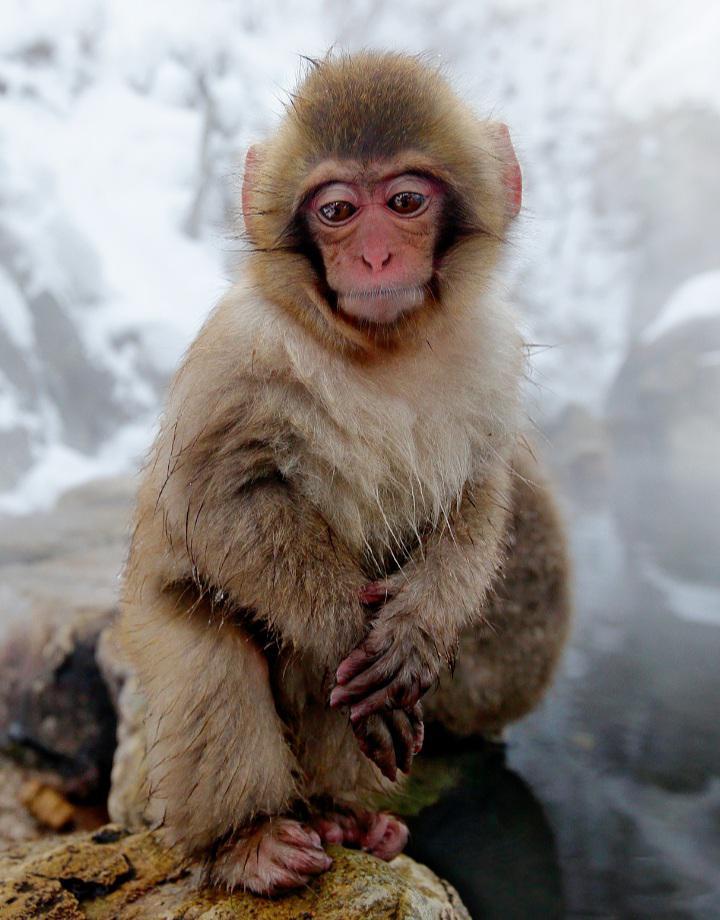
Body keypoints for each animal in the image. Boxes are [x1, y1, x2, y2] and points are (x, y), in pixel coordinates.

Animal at [118, 51, 570, 896]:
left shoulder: (489, 349)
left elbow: (477, 493)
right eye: (336, 211)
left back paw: (343, 811)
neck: (377, 348)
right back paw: (250, 838)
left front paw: (416, 634)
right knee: (211, 655)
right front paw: (341, 628)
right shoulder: (238, 356)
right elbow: (216, 497)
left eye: (404, 201)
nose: (375, 255)